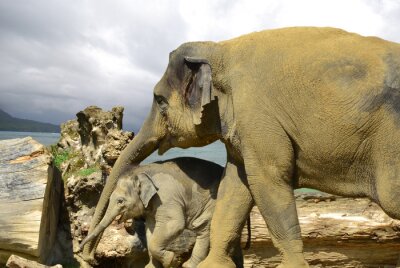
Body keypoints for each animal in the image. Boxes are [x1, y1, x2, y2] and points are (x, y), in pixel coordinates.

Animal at [79, 157, 227, 268]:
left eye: (120, 201)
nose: (79, 249)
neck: (142, 172)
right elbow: (151, 229)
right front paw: (152, 266)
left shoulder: (166, 197)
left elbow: (175, 223)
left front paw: (171, 260)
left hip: (212, 203)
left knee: (204, 229)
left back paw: (188, 265)